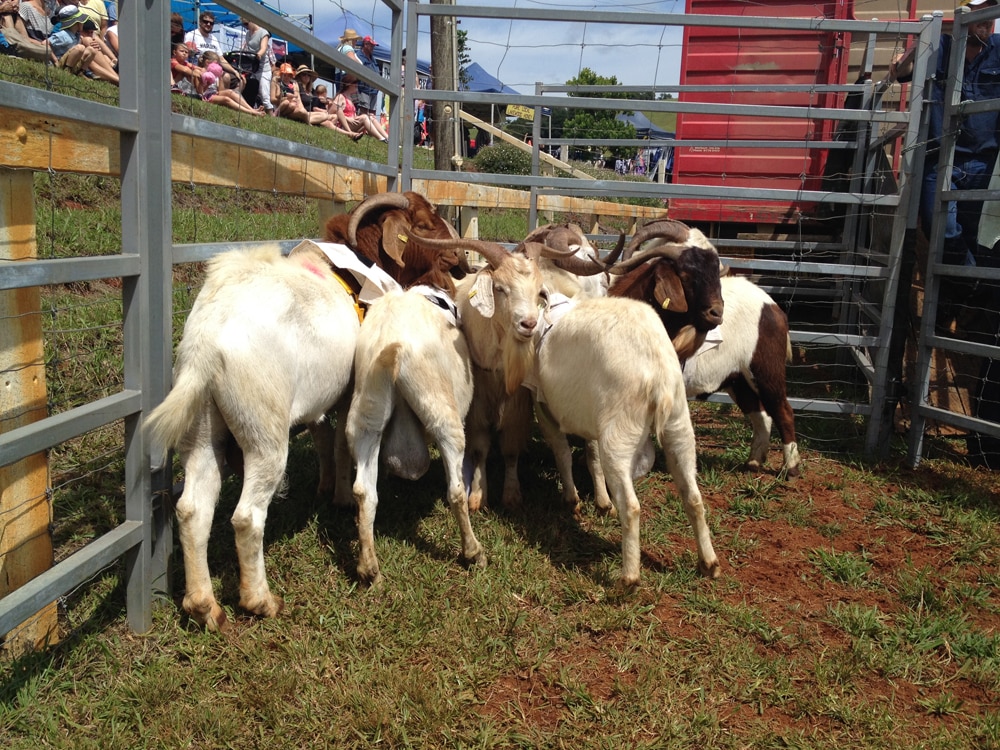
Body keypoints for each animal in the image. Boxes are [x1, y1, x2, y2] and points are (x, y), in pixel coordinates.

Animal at [144, 244, 361, 632]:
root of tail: (204, 343)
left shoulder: (315, 403)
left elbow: (323, 437)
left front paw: (324, 489)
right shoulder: (345, 390)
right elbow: (338, 443)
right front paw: (342, 497)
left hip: (202, 426)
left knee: (192, 509)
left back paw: (204, 607)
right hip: (263, 424)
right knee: (247, 516)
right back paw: (261, 601)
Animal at [346, 237, 575, 586]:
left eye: (540, 291)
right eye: (500, 288)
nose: (529, 325)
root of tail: (394, 348)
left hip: (367, 412)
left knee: (363, 491)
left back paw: (369, 568)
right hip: (443, 414)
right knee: (454, 489)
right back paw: (473, 552)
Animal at [608, 221, 800, 477]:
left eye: (714, 273)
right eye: (685, 273)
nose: (717, 313)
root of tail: (772, 307)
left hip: (766, 370)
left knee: (783, 410)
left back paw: (792, 468)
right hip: (738, 379)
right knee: (761, 415)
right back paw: (753, 462)